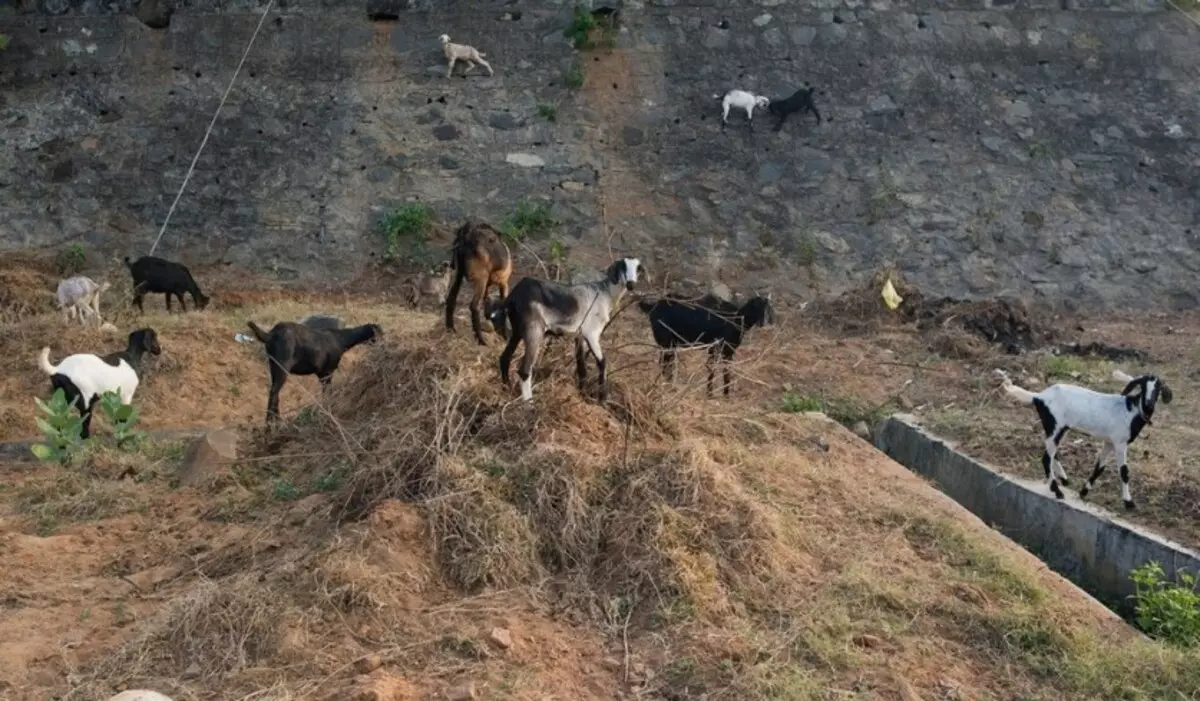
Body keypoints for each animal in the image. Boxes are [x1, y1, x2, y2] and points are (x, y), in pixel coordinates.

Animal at [248, 319, 384, 424]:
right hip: (282, 366)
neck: (341, 339)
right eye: (380, 333)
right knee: (274, 392)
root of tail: (270, 334)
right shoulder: (327, 373)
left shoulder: (322, 374)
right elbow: (328, 392)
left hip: (273, 366)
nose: (383, 344)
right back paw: (271, 423)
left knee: (274, 393)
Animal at [496, 256, 643, 403]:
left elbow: (581, 367)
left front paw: (583, 395)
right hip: (534, 330)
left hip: (517, 330)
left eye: (638, 268)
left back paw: (506, 390)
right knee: (524, 370)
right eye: (623, 266)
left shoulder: (579, 335)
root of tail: (514, 295)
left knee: (504, 358)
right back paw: (529, 403)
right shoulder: (592, 333)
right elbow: (602, 362)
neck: (605, 293)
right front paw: (602, 398)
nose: (631, 284)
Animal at [638, 291, 777, 400]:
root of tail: (654, 306)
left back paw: (669, 383)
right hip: (665, 339)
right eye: (757, 307)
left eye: (768, 309)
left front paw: (723, 394)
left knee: (667, 362)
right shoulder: (718, 346)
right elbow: (715, 368)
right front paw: (713, 394)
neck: (736, 319)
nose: (764, 323)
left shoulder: (725, 349)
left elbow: (724, 370)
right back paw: (667, 384)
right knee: (664, 362)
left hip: (670, 342)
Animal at [993, 367, 1171, 508]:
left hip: (1058, 428)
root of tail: (1038, 396)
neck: (1132, 410)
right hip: (1055, 425)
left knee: (1053, 453)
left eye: (1158, 388)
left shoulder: (1109, 442)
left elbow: (1099, 467)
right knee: (1046, 458)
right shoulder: (1120, 442)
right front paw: (1129, 502)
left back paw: (1064, 479)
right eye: (1143, 386)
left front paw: (1084, 491)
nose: (1148, 405)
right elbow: (1124, 471)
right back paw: (1057, 491)